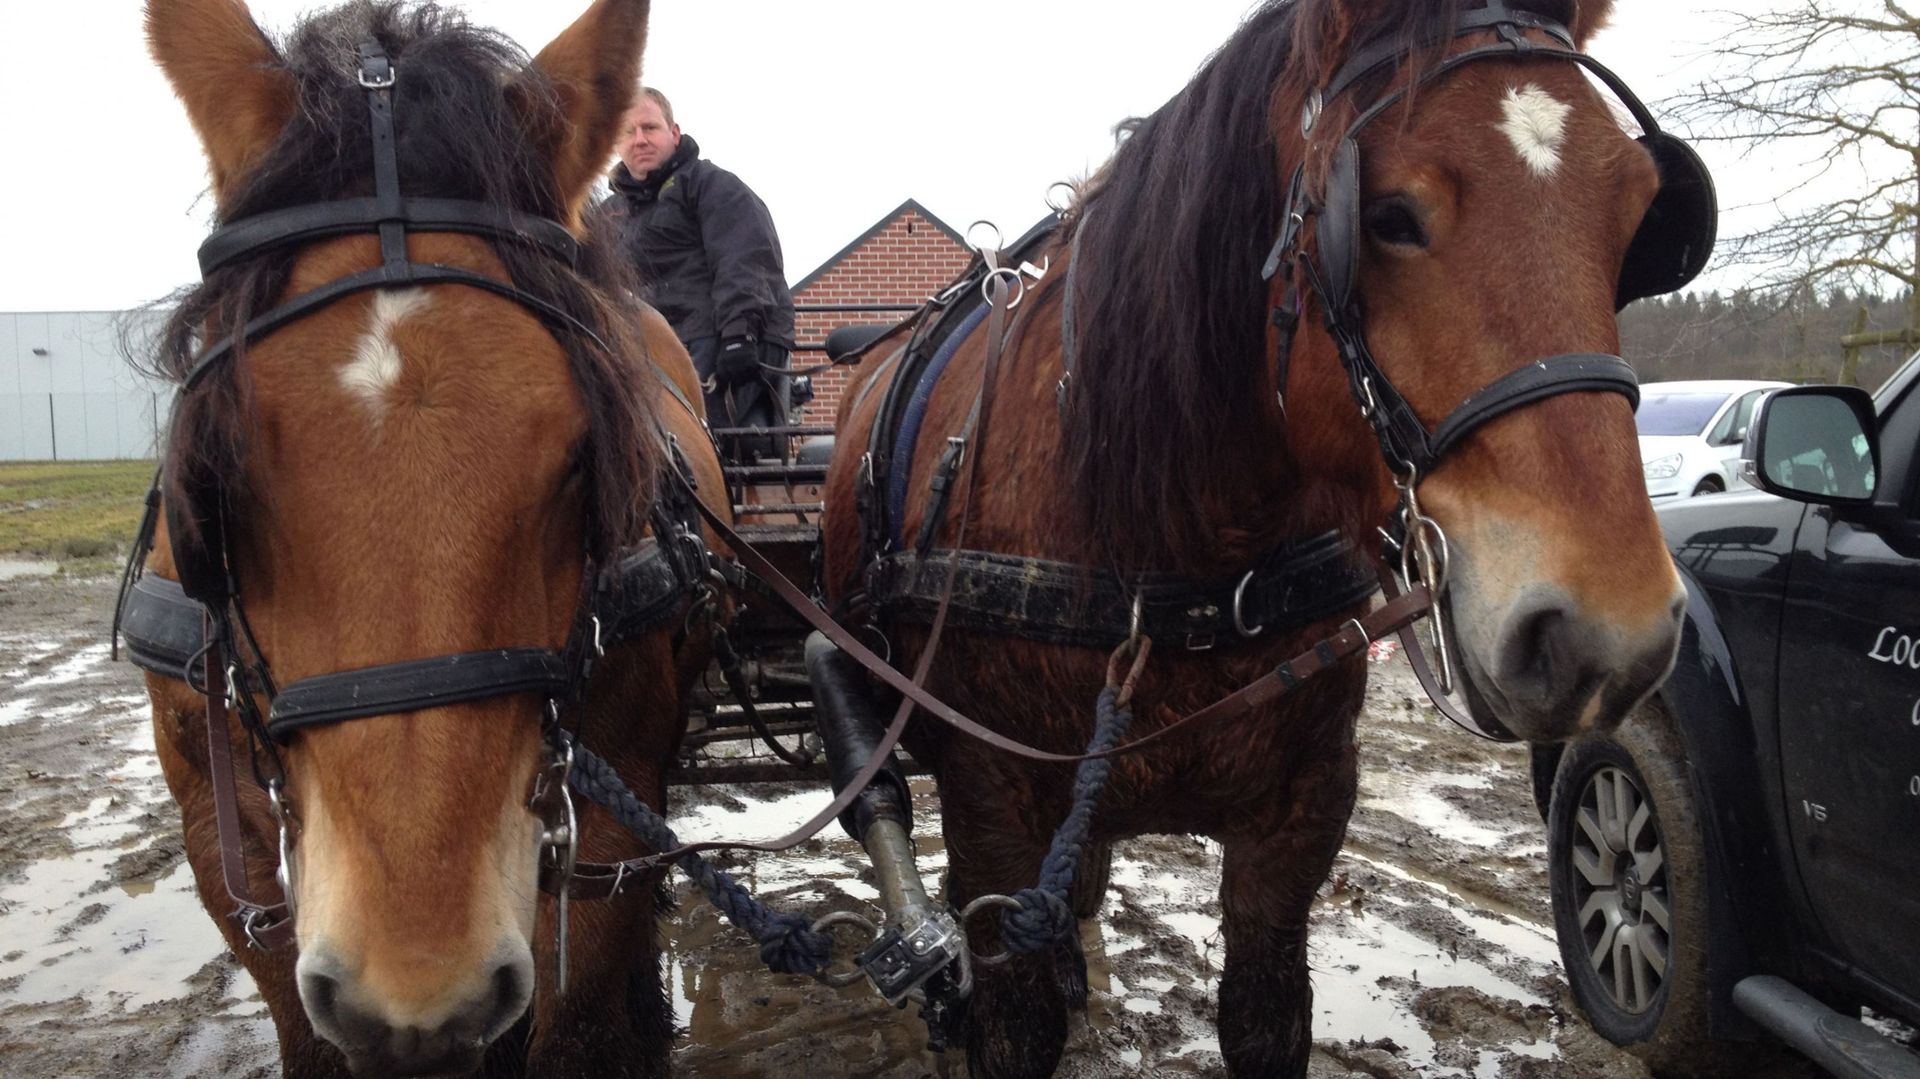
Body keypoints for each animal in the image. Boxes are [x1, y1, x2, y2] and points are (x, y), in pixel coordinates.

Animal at [133, 1, 723, 1074]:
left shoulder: (606, 814)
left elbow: (574, 1016)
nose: (416, 981)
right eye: (213, 470)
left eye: (586, 458)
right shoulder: (218, 832)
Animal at [821, 0, 1703, 1074]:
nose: (1610, 633)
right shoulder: (990, 802)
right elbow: (1013, 1011)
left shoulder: (1300, 816)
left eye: (1640, 216)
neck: (1172, 562)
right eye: (1388, 215)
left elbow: (1262, 1013)